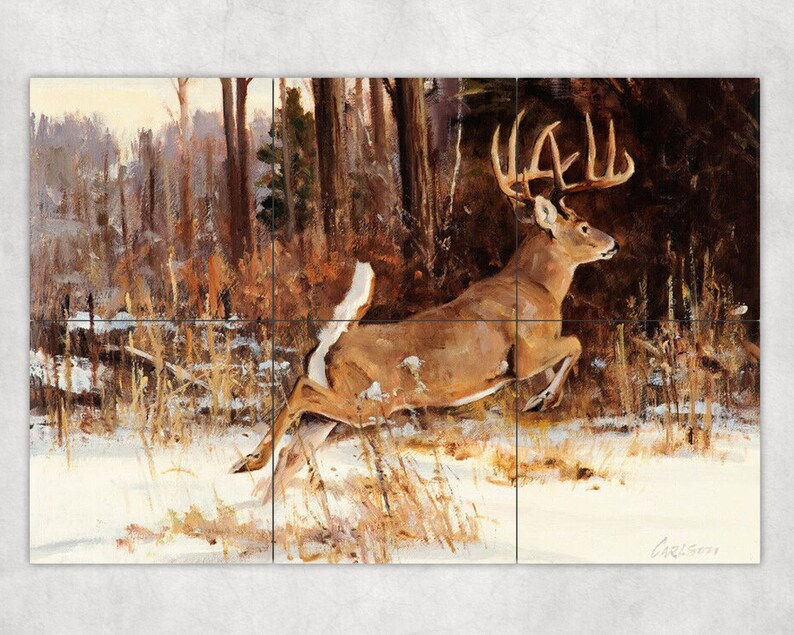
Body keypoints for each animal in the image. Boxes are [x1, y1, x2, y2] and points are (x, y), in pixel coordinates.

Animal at [231, 110, 634, 503]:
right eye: (583, 226)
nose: (613, 243)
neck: (539, 289)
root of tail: (330, 344)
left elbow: (562, 362)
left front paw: (543, 398)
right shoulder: (526, 355)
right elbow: (575, 344)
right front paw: (542, 399)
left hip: (333, 415)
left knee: (291, 453)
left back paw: (257, 482)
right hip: (372, 400)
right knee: (300, 393)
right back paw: (250, 460)